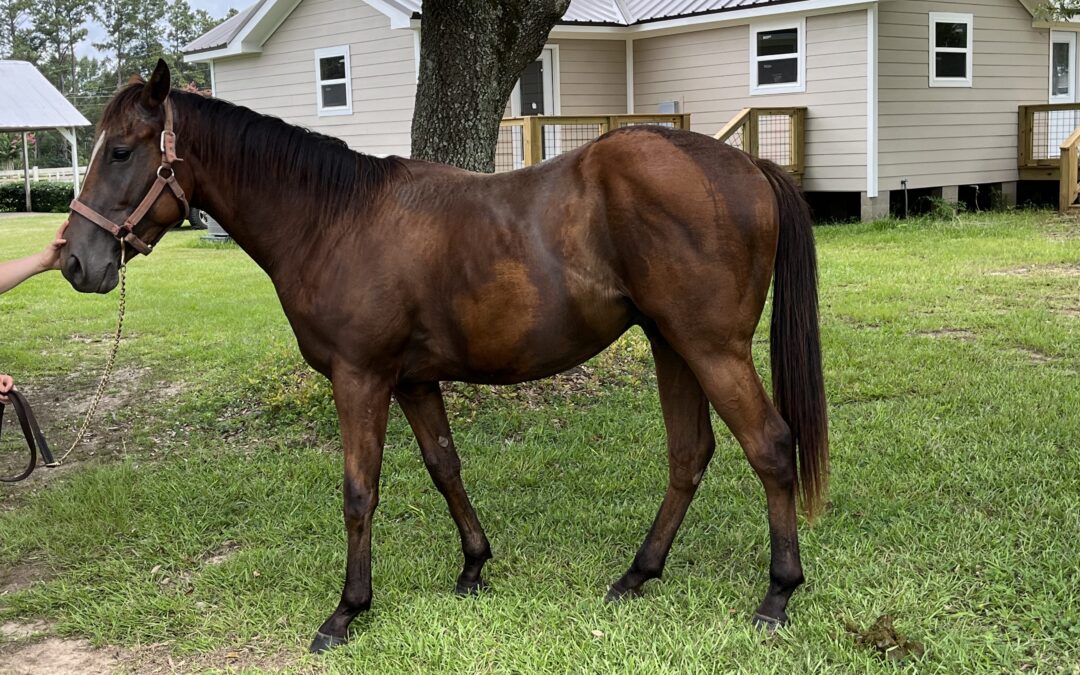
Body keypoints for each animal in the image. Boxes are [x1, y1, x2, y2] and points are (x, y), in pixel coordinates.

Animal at [60, 60, 828, 653]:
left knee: (769, 445)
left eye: (121, 152)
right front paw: (474, 567)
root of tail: (748, 163)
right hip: (671, 343)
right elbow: (444, 467)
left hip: (711, 348)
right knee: (689, 453)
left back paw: (777, 595)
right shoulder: (413, 381)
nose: (74, 260)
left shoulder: (361, 378)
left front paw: (347, 610)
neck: (332, 220)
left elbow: (359, 491)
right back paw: (638, 574)